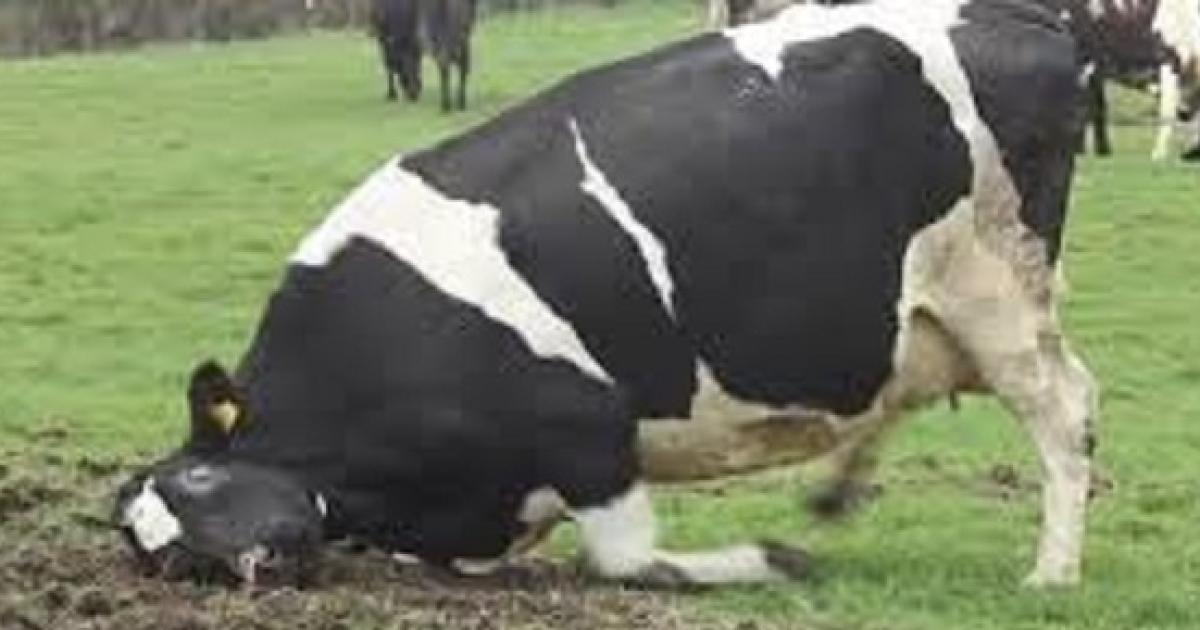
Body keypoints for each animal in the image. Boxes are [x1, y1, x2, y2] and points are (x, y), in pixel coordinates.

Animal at [115, 0, 1094, 590]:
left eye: (200, 478)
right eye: (160, 556)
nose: (253, 562)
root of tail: (1024, 20)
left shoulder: (588, 422)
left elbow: (626, 562)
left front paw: (774, 558)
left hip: (1001, 288)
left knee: (1065, 411)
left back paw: (1050, 572)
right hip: (923, 313)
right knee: (909, 386)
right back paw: (841, 490)